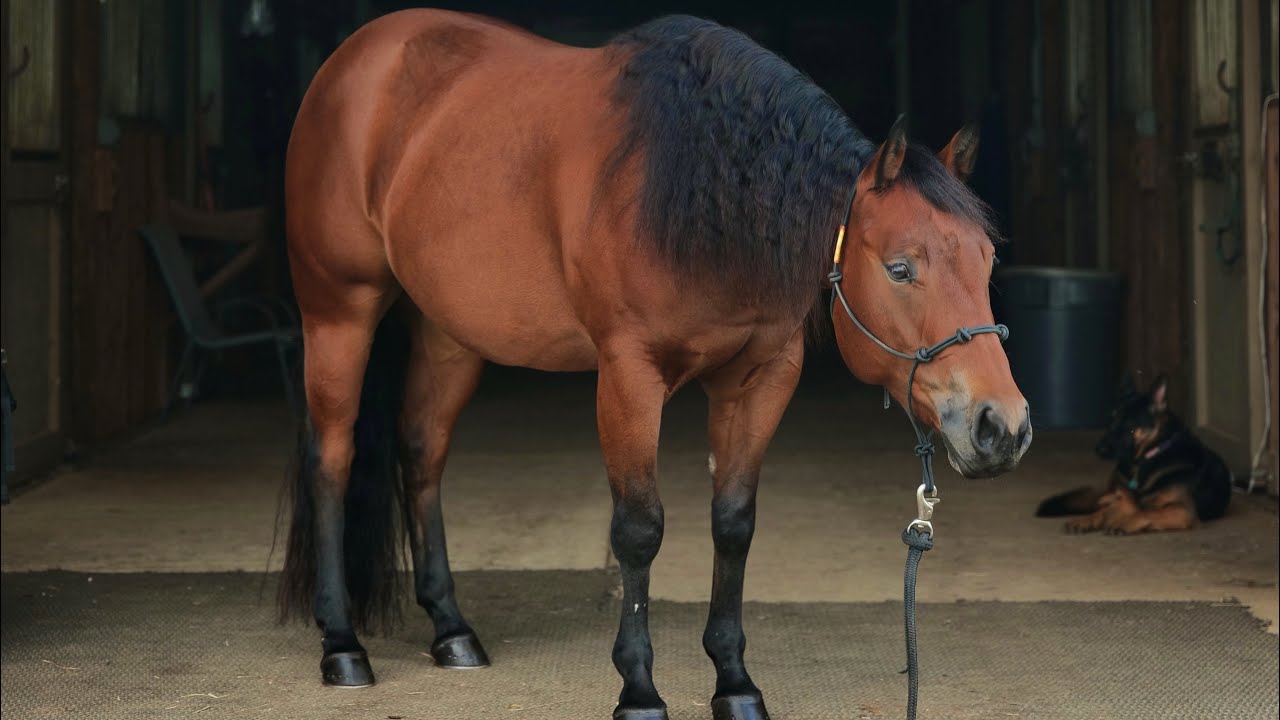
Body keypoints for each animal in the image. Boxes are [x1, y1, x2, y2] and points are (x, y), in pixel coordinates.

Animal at [278, 10, 1031, 720]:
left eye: (988, 260)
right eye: (901, 268)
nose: (1004, 427)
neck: (704, 198)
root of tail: (354, 58)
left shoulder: (761, 379)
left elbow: (733, 523)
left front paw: (735, 682)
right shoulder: (629, 375)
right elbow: (639, 531)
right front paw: (638, 688)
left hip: (448, 335)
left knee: (421, 454)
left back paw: (452, 631)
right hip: (340, 312)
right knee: (332, 459)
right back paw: (342, 645)